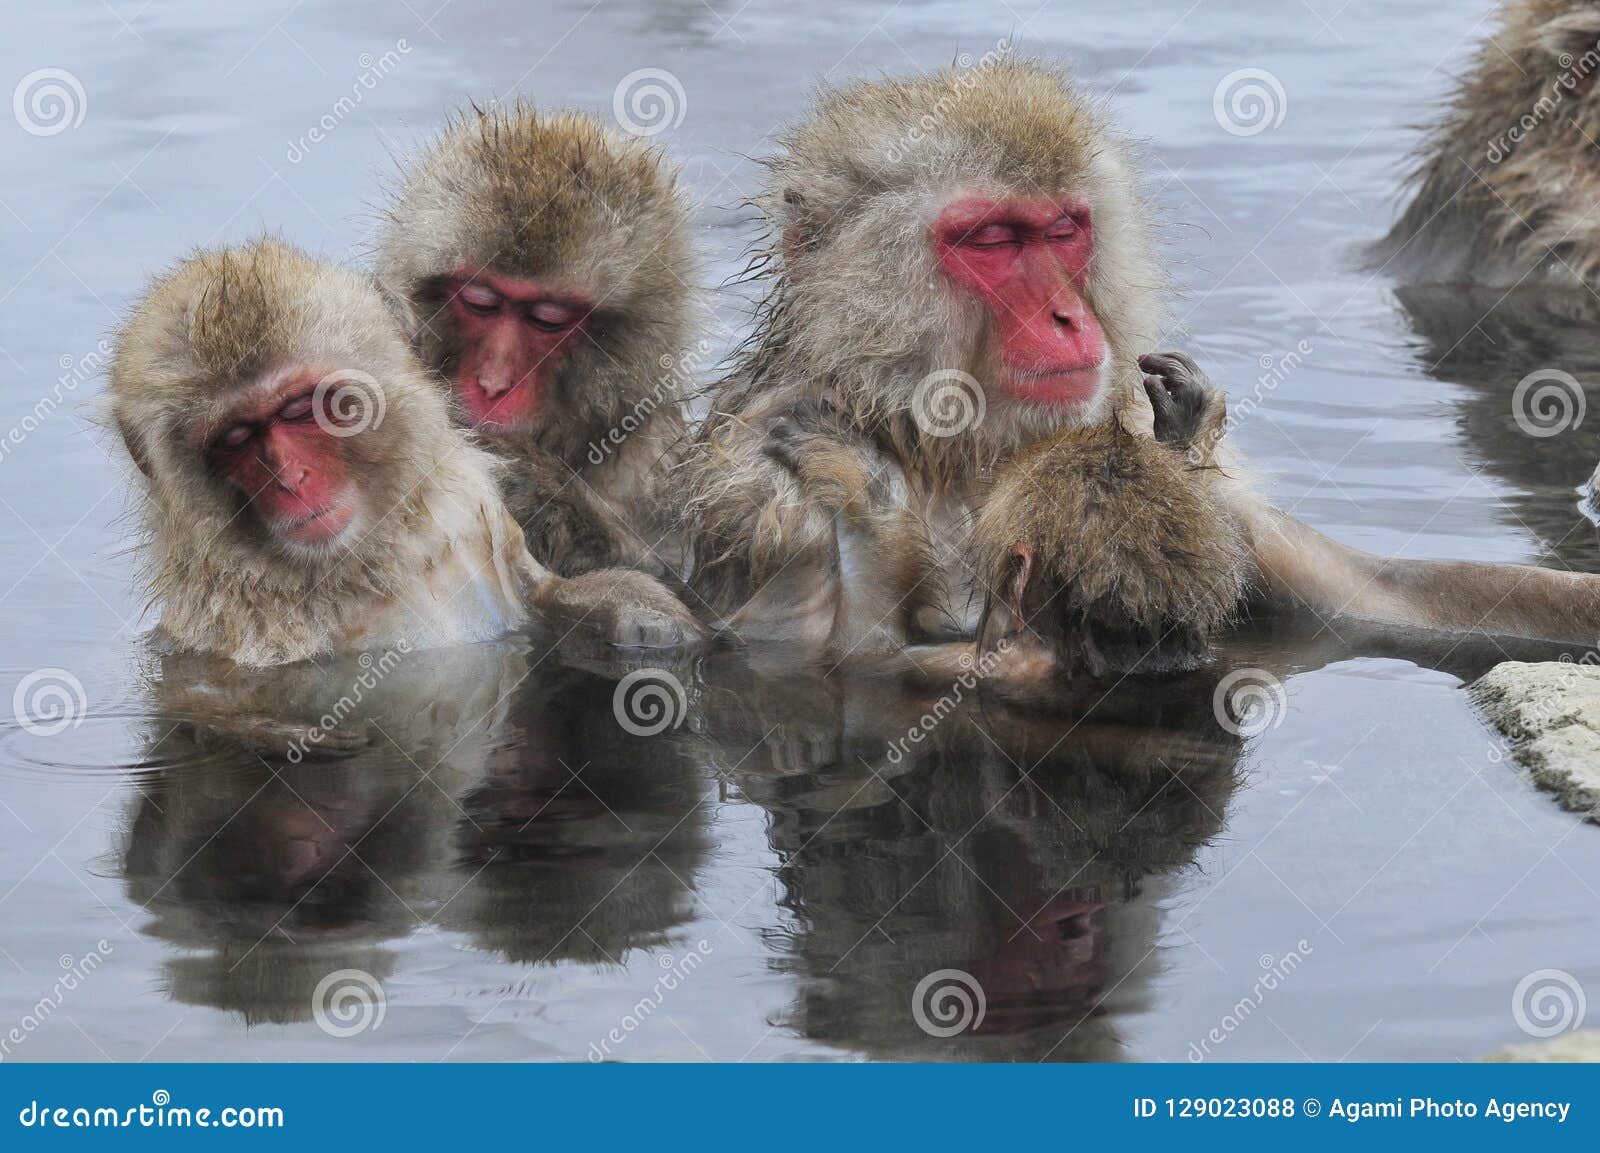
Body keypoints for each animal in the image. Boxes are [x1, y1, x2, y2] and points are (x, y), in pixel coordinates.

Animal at [682, 60, 1600, 678]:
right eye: (991, 239)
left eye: (1063, 230)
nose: (1067, 316)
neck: (961, 454)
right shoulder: (765, 497)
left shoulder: (1227, 508)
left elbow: (1388, 594)